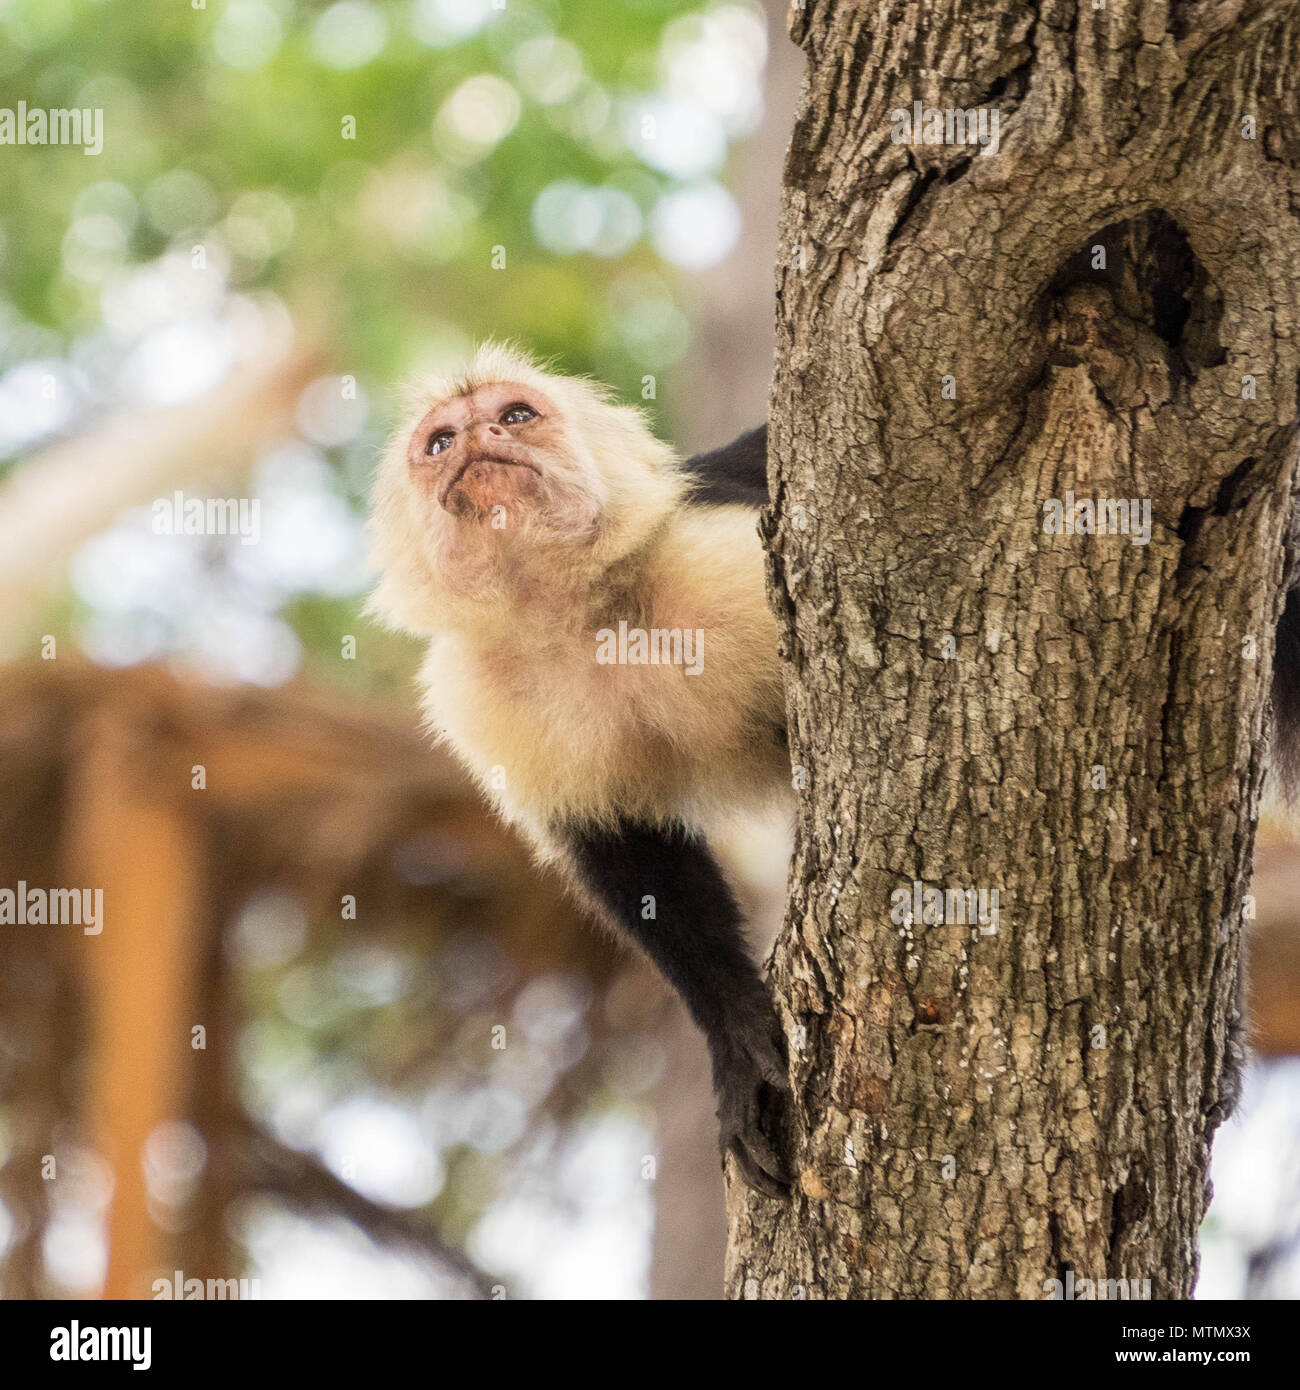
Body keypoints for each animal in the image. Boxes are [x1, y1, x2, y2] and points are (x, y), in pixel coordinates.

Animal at [367, 344, 792, 1195]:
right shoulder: (478, 700)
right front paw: (735, 1031)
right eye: (440, 442)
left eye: (515, 414)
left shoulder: (710, 552)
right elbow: (627, 853)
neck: (572, 613)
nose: (477, 441)